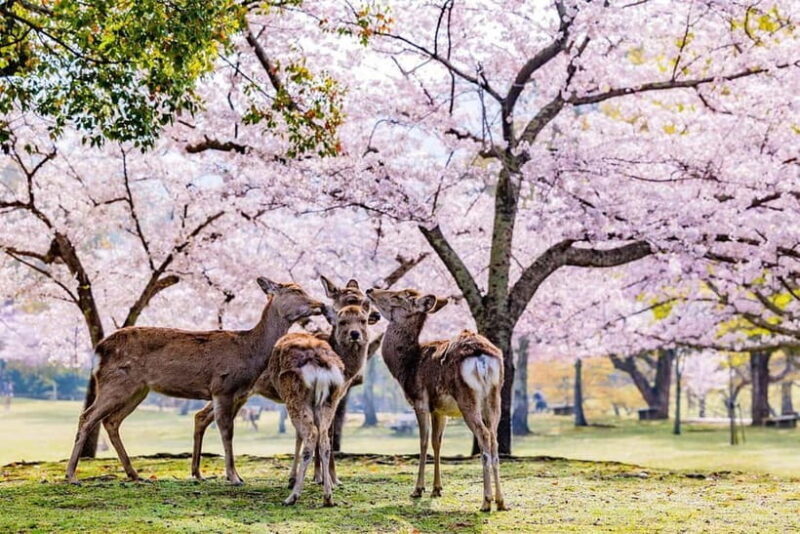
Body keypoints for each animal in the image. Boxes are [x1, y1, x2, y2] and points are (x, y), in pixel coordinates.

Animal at [65, 278, 323, 485]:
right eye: (295, 290)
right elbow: (226, 430)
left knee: (111, 421)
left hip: (138, 390)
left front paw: (229, 475)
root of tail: (98, 350)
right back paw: (71, 475)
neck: (249, 351)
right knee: (87, 416)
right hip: (115, 383)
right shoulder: (222, 387)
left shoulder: (238, 393)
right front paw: (234, 477)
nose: (319, 305)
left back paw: (135, 474)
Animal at [258, 300, 371, 506]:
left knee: (311, 434)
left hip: (294, 395)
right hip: (325, 400)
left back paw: (293, 496)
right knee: (324, 438)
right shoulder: (337, 397)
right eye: (342, 321)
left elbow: (300, 436)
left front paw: (299, 479)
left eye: (363, 320)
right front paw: (325, 480)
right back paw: (327, 497)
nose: (355, 334)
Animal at [366, 287, 507, 512]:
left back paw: (486, 501)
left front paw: (418, 489)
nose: (370, 289)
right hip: (494, 397)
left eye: (397, 296)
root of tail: (482, 358)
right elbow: (437, 442)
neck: (407, 366)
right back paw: (501, 501)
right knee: (494, 437)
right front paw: (437, 489)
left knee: (484, 435)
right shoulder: (440, 410)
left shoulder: (420, 402)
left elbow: (423, 442)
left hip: (467, 398)